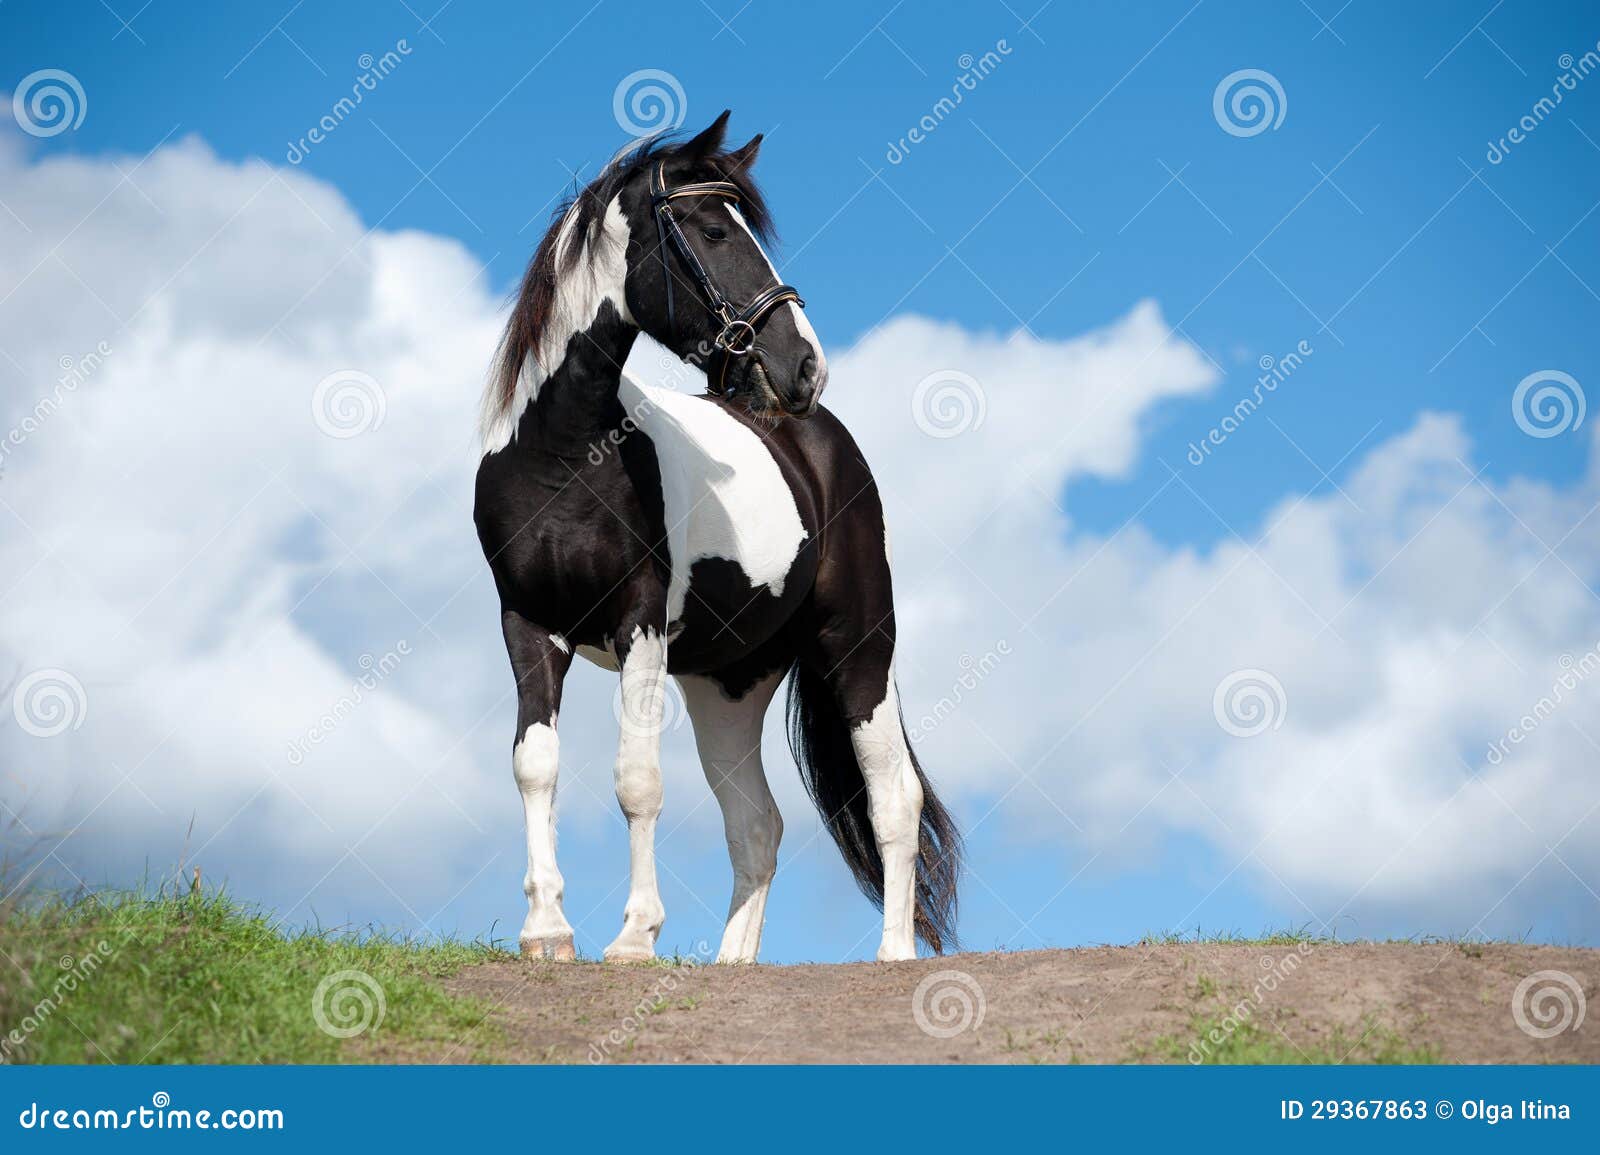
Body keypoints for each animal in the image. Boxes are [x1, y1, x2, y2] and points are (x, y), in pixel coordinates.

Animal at [473, 111, 960, 964]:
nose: (804, 365)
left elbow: (637, 780)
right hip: (725, 687)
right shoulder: (527, 622)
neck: (562, 455)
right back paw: (733, 961)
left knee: (892, 797)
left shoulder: (636, 622)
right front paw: (547, 932)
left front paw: (634, 937)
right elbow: (535, 765)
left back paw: (894, 954)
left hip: (861, 646)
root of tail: (823, 443)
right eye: (712, 229)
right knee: (758, 822)